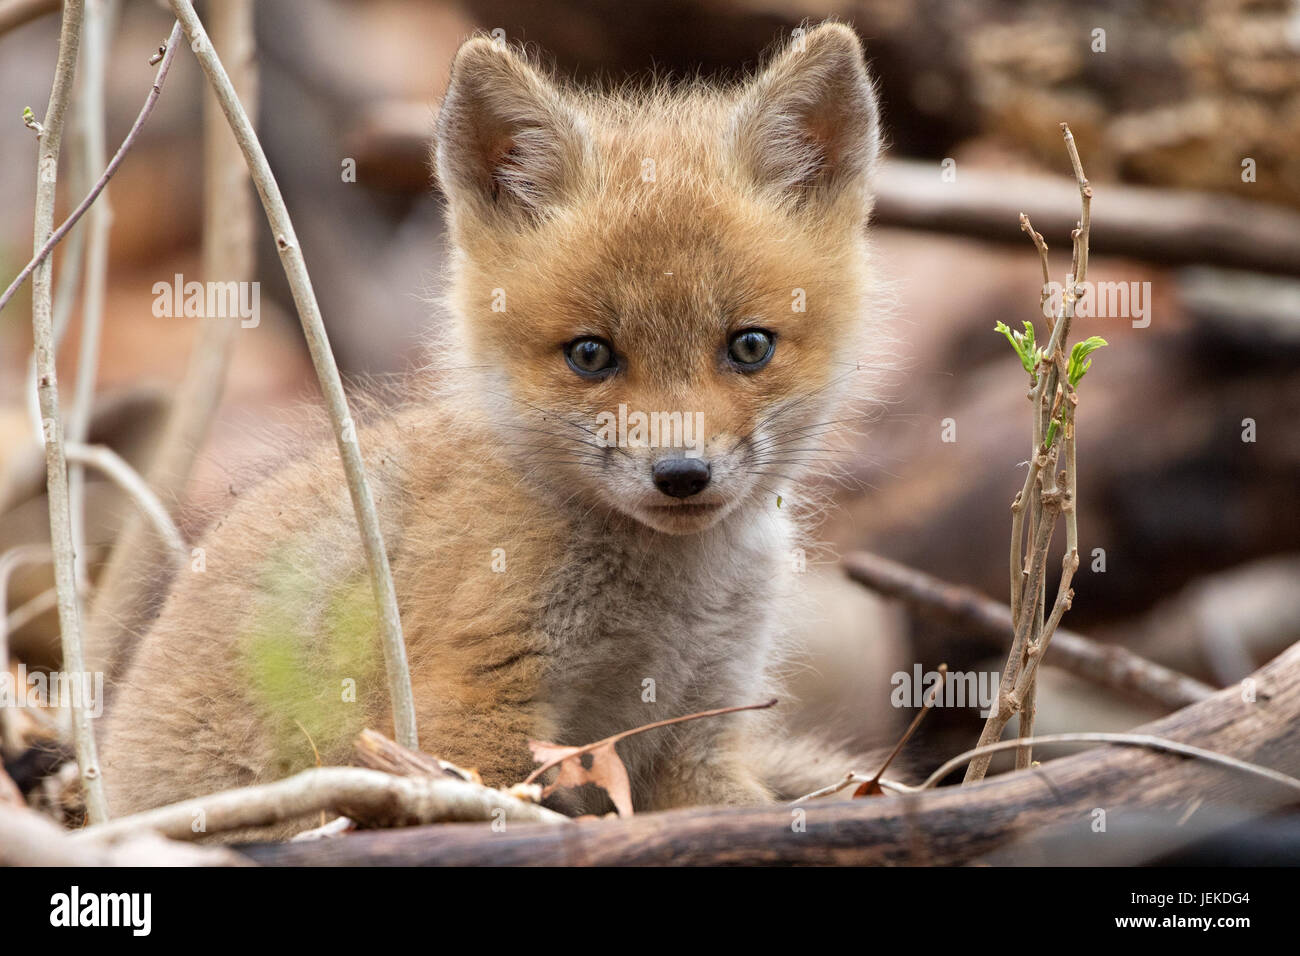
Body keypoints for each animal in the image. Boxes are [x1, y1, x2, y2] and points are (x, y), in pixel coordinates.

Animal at [98, 21, 891, 835]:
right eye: (590, 355)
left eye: (750, 346)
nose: (681, 475)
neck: (669, 604)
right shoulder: (472, 710)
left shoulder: (702, 728)